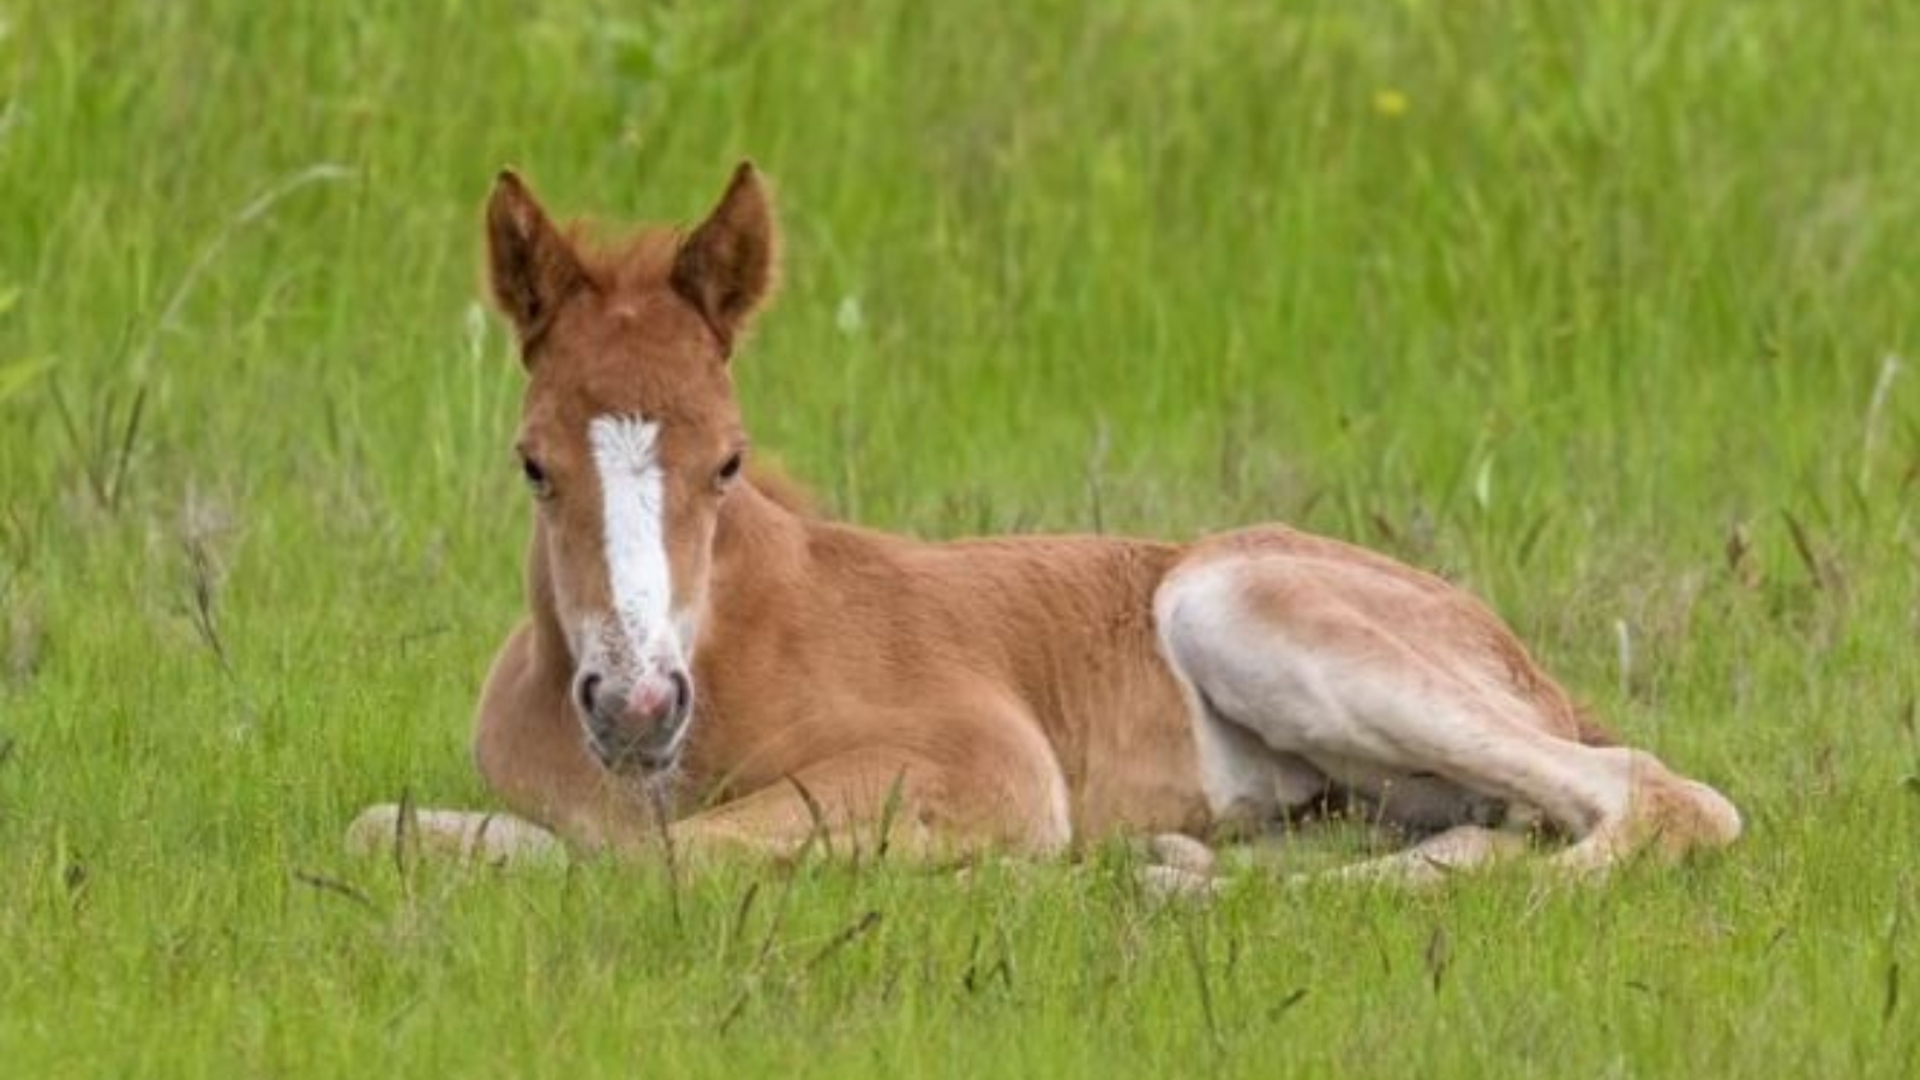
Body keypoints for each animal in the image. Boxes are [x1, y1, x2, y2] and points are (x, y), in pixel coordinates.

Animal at [347, 163, 1741, 888]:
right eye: (533, 465)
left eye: (729, 462)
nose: (635, 706)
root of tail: (1518, 652)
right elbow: (399, 830)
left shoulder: (985, 762)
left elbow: (666, 859)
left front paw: (991, 876)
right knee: (1487, 828)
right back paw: (1182, 873)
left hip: (1241, 604)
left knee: (1657, 794)